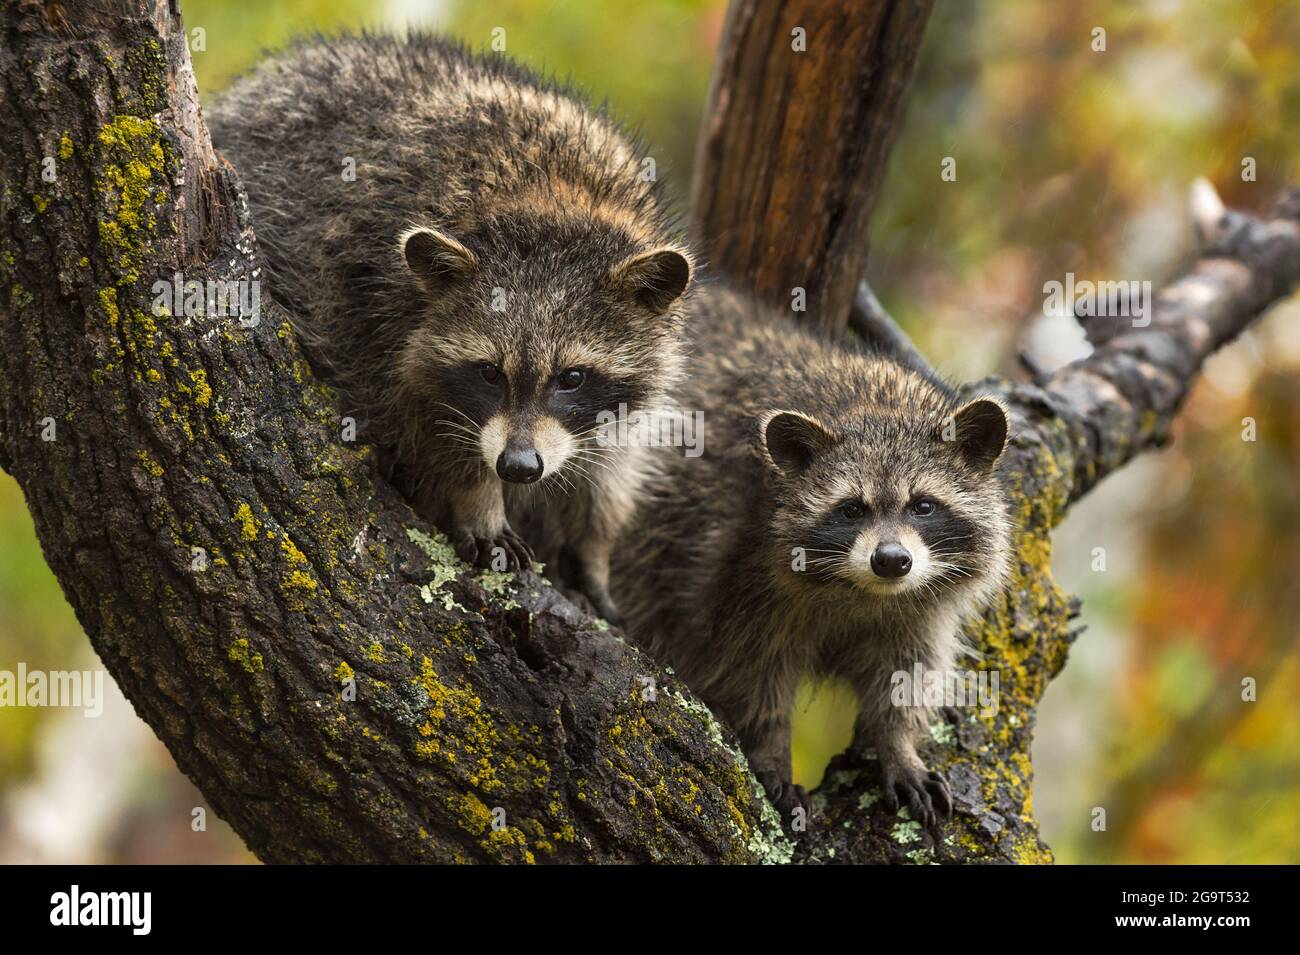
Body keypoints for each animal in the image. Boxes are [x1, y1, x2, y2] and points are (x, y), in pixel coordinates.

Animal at [207, 34, 693, 620]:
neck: (550, 202)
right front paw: (477, 495)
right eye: (489, 373)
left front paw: (593, 546)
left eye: (572, 378)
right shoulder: (367, 303)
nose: (518, 467)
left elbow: (615, 451)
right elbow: (416, 423)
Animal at [613, 286, 1012, 825]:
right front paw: (770, 743)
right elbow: (748, 668)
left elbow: (907, 673)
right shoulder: (735, 562)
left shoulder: (919, 610)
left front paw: (897, 744)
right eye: (851, 509)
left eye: (923, 505)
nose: (891, 560)